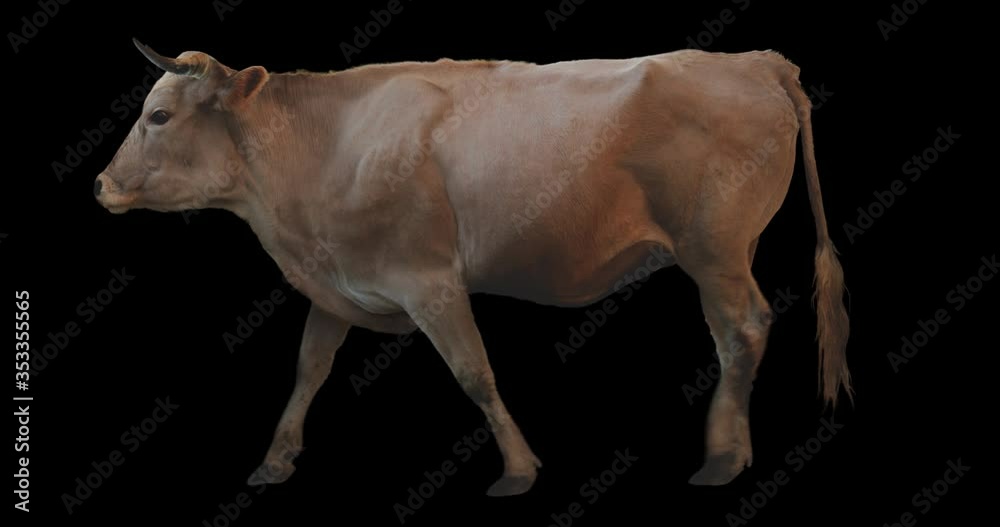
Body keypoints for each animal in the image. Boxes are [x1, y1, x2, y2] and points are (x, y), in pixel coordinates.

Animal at [94, 39, 852, 495]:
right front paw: (275, 458)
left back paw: (721, 455)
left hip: (712, 250)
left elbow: (474, 373)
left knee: (740, 329)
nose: (101, 184)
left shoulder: (428, 280)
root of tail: (753, 61)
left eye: (157, 116)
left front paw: (517, 469)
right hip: (731, 250)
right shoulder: (337, 285)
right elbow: (309, 368)